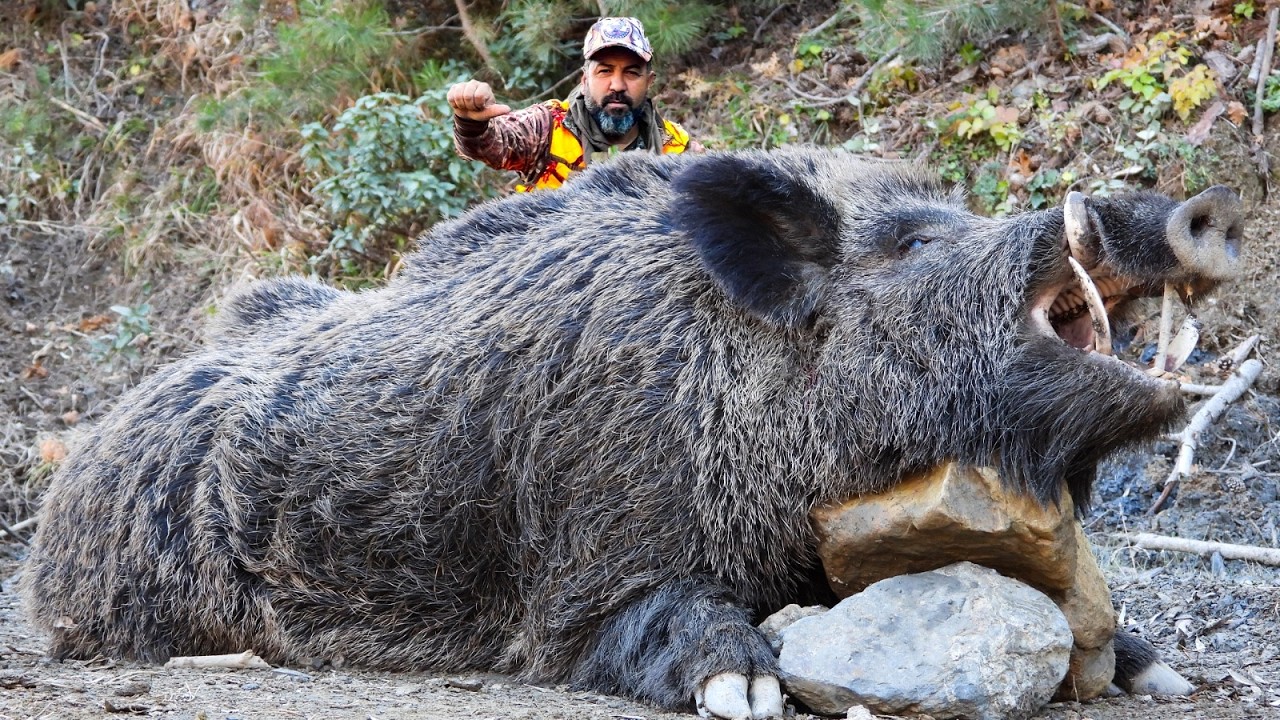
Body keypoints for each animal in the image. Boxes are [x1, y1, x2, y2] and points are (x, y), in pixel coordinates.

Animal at [21, 148, 1244, 719]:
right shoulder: (586, 567)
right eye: (905, 242)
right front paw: (748, 690)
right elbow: (650, 619)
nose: (1187, 206)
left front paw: (1158, 674)